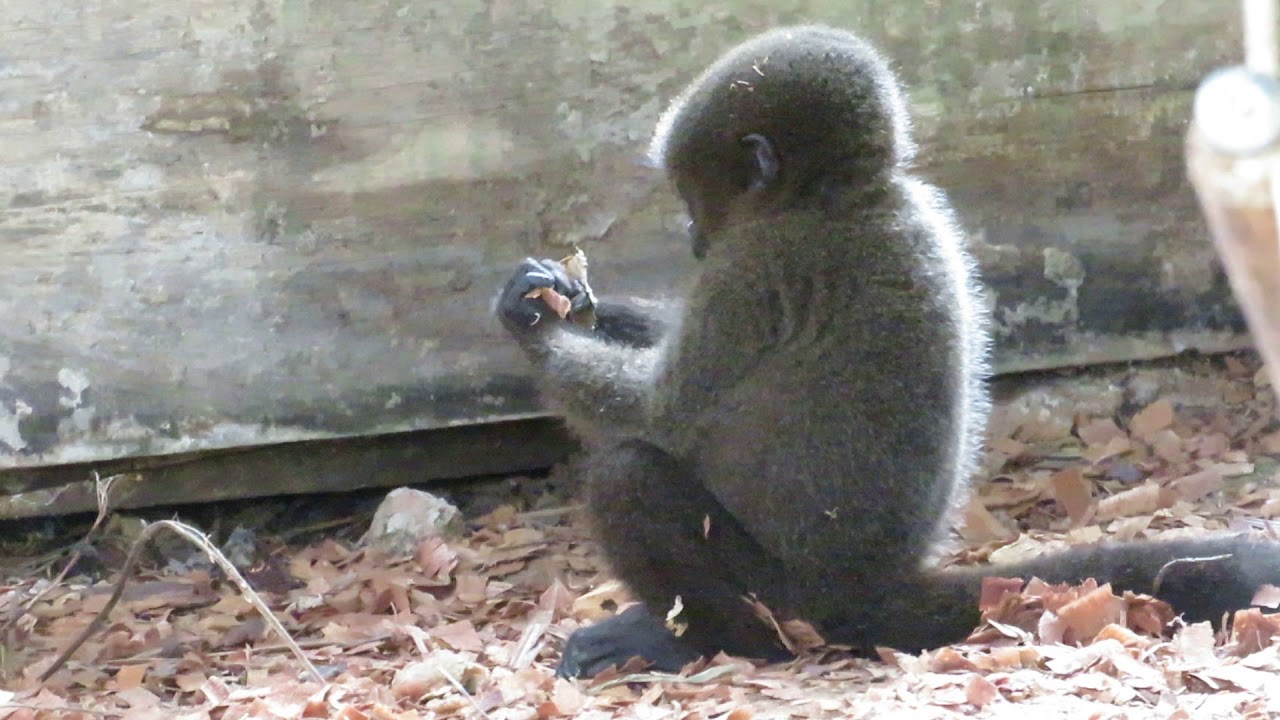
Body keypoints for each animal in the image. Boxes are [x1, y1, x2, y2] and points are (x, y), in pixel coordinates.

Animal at [495, 25, 1280, 679]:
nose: (692, 236)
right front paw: (588, 303)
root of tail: (871, 588)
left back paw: (705, 639)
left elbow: (659, 412)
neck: (842, 195)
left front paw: (533, 328)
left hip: (785, 595)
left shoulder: (754, 263)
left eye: (692, 194)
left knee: (627, 474)